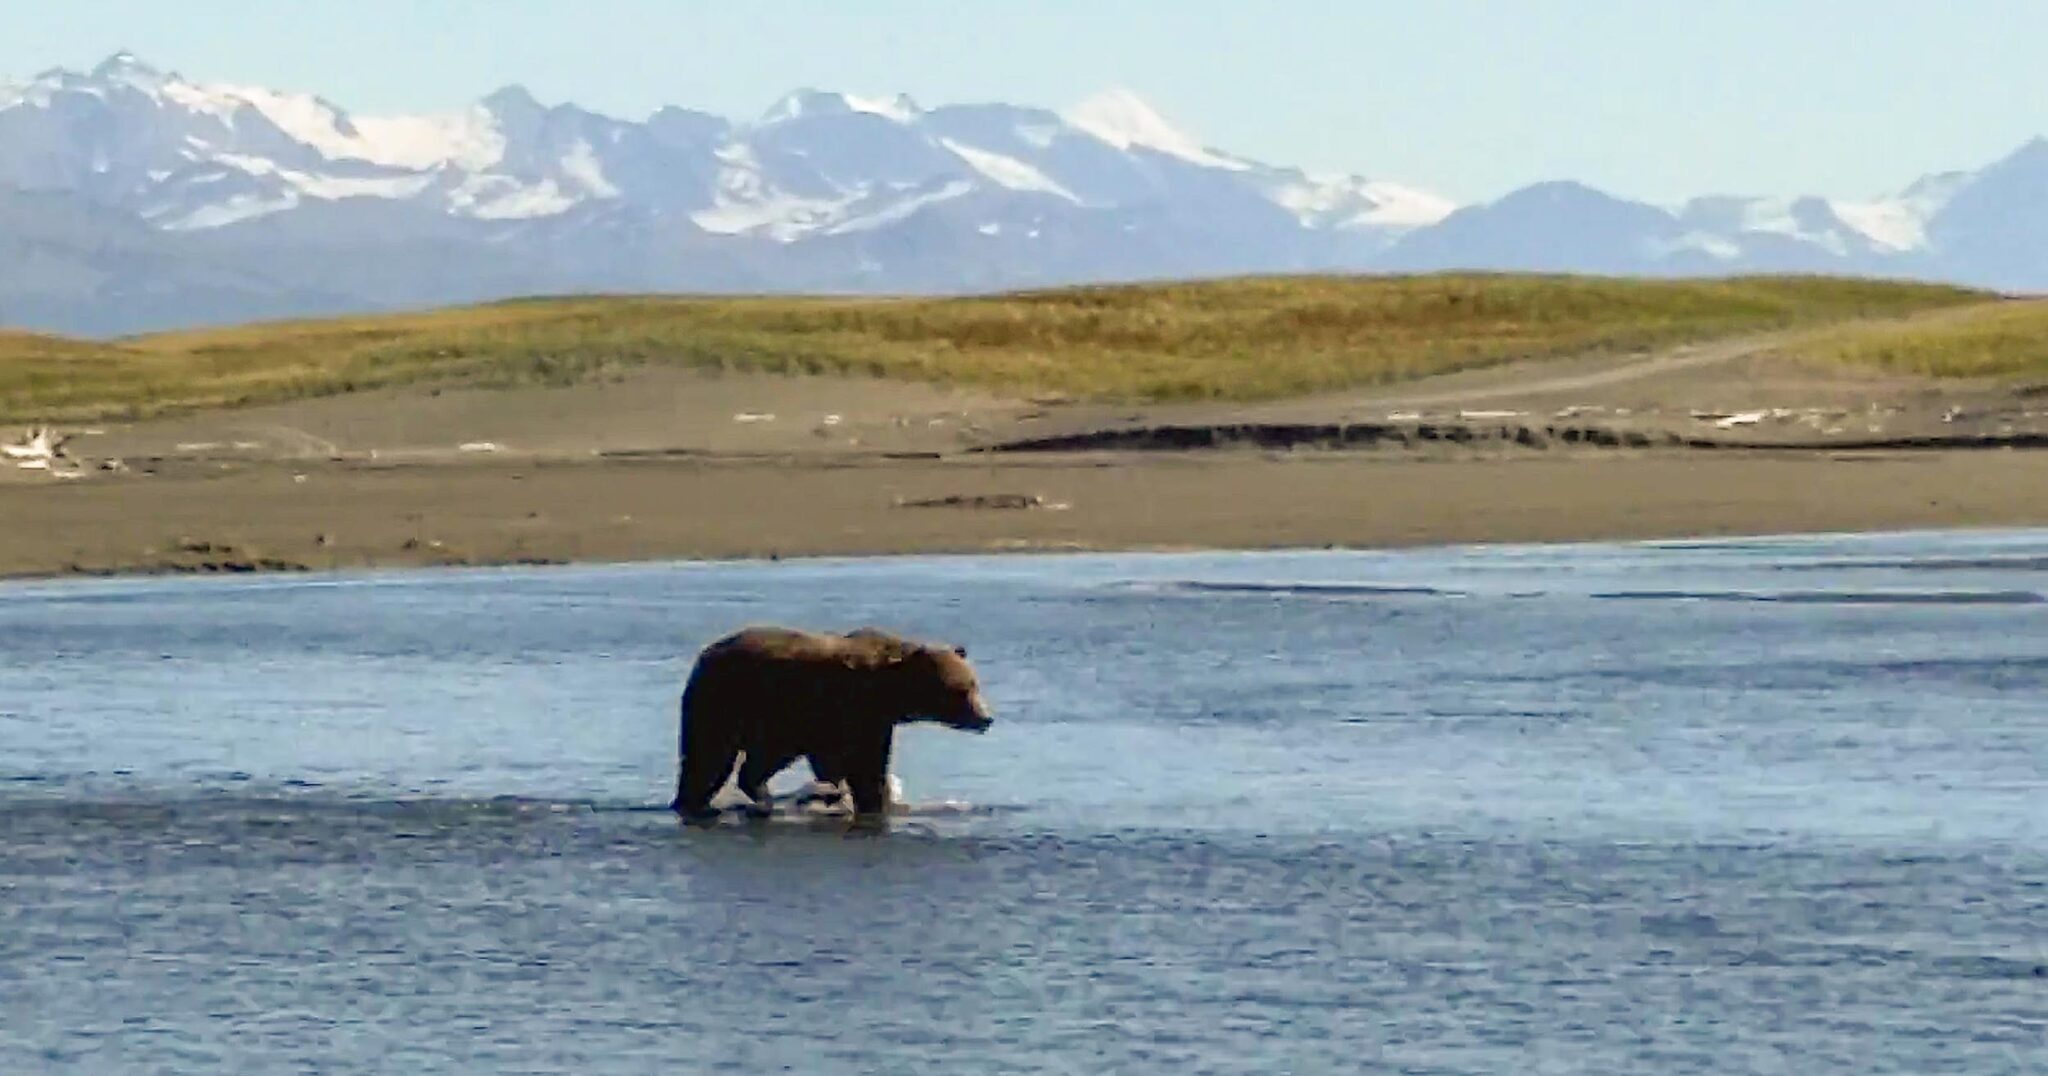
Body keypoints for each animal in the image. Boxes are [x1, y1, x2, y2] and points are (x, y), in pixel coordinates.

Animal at [669, 625, 992, 824]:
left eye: (975, 684)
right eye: (962, 690)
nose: (986, 718)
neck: (888, 690)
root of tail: (703, 656)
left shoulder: (863, 720)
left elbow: (844, 761)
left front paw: (845, 794)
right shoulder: (839, 709)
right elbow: (864, 765)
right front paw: (871, 801)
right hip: (730, 700)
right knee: (711, 756)